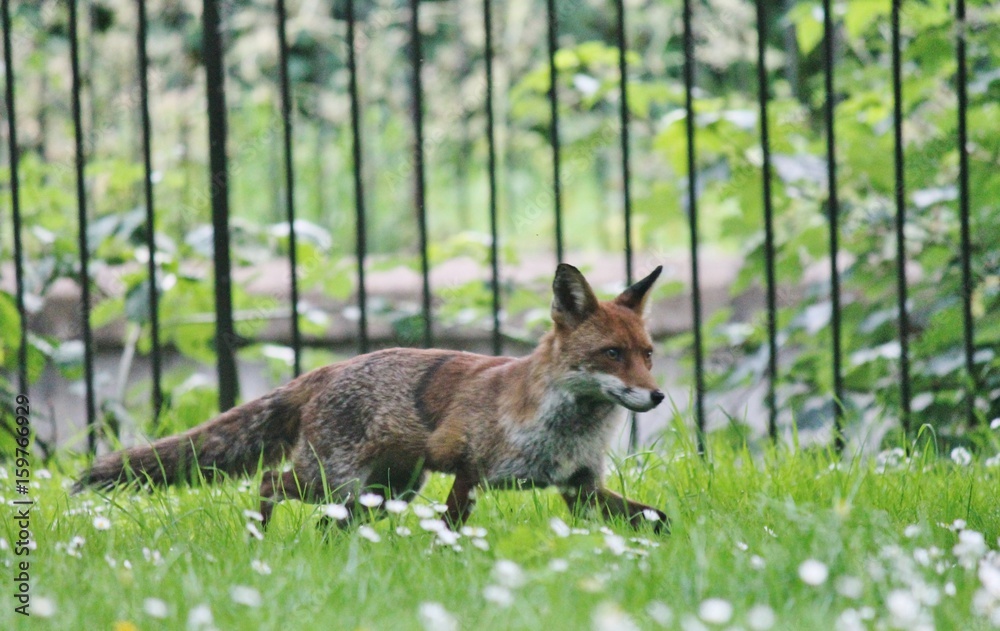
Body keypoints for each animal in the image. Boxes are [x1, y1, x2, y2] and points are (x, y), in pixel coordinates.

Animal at [75, 264, 669, 532]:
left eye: (648, 353)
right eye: (612, 354)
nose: (659, 396)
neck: (565, 430)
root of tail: (324, 369)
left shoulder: (580, 490)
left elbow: (658, 517)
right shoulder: (467, 471)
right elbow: (452, 529)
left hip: (384, 493)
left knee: (325, 524)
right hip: (335, 482)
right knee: (268, 482)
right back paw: (258, 538)